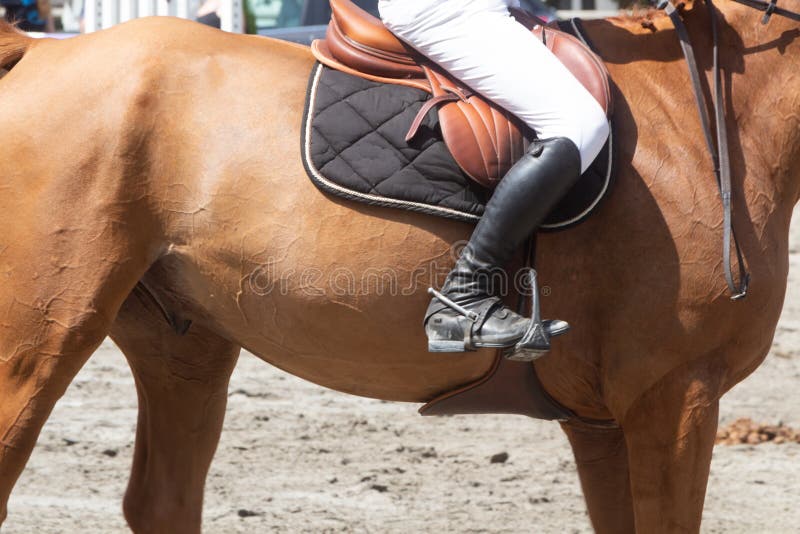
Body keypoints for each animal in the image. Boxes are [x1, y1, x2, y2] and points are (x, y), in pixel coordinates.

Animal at [0, 0, 798, 531]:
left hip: (183, 345)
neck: (704, 122)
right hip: (40, 339)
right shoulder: (673, 395)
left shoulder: (604, 420)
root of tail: (37, 50)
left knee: (161, 500)